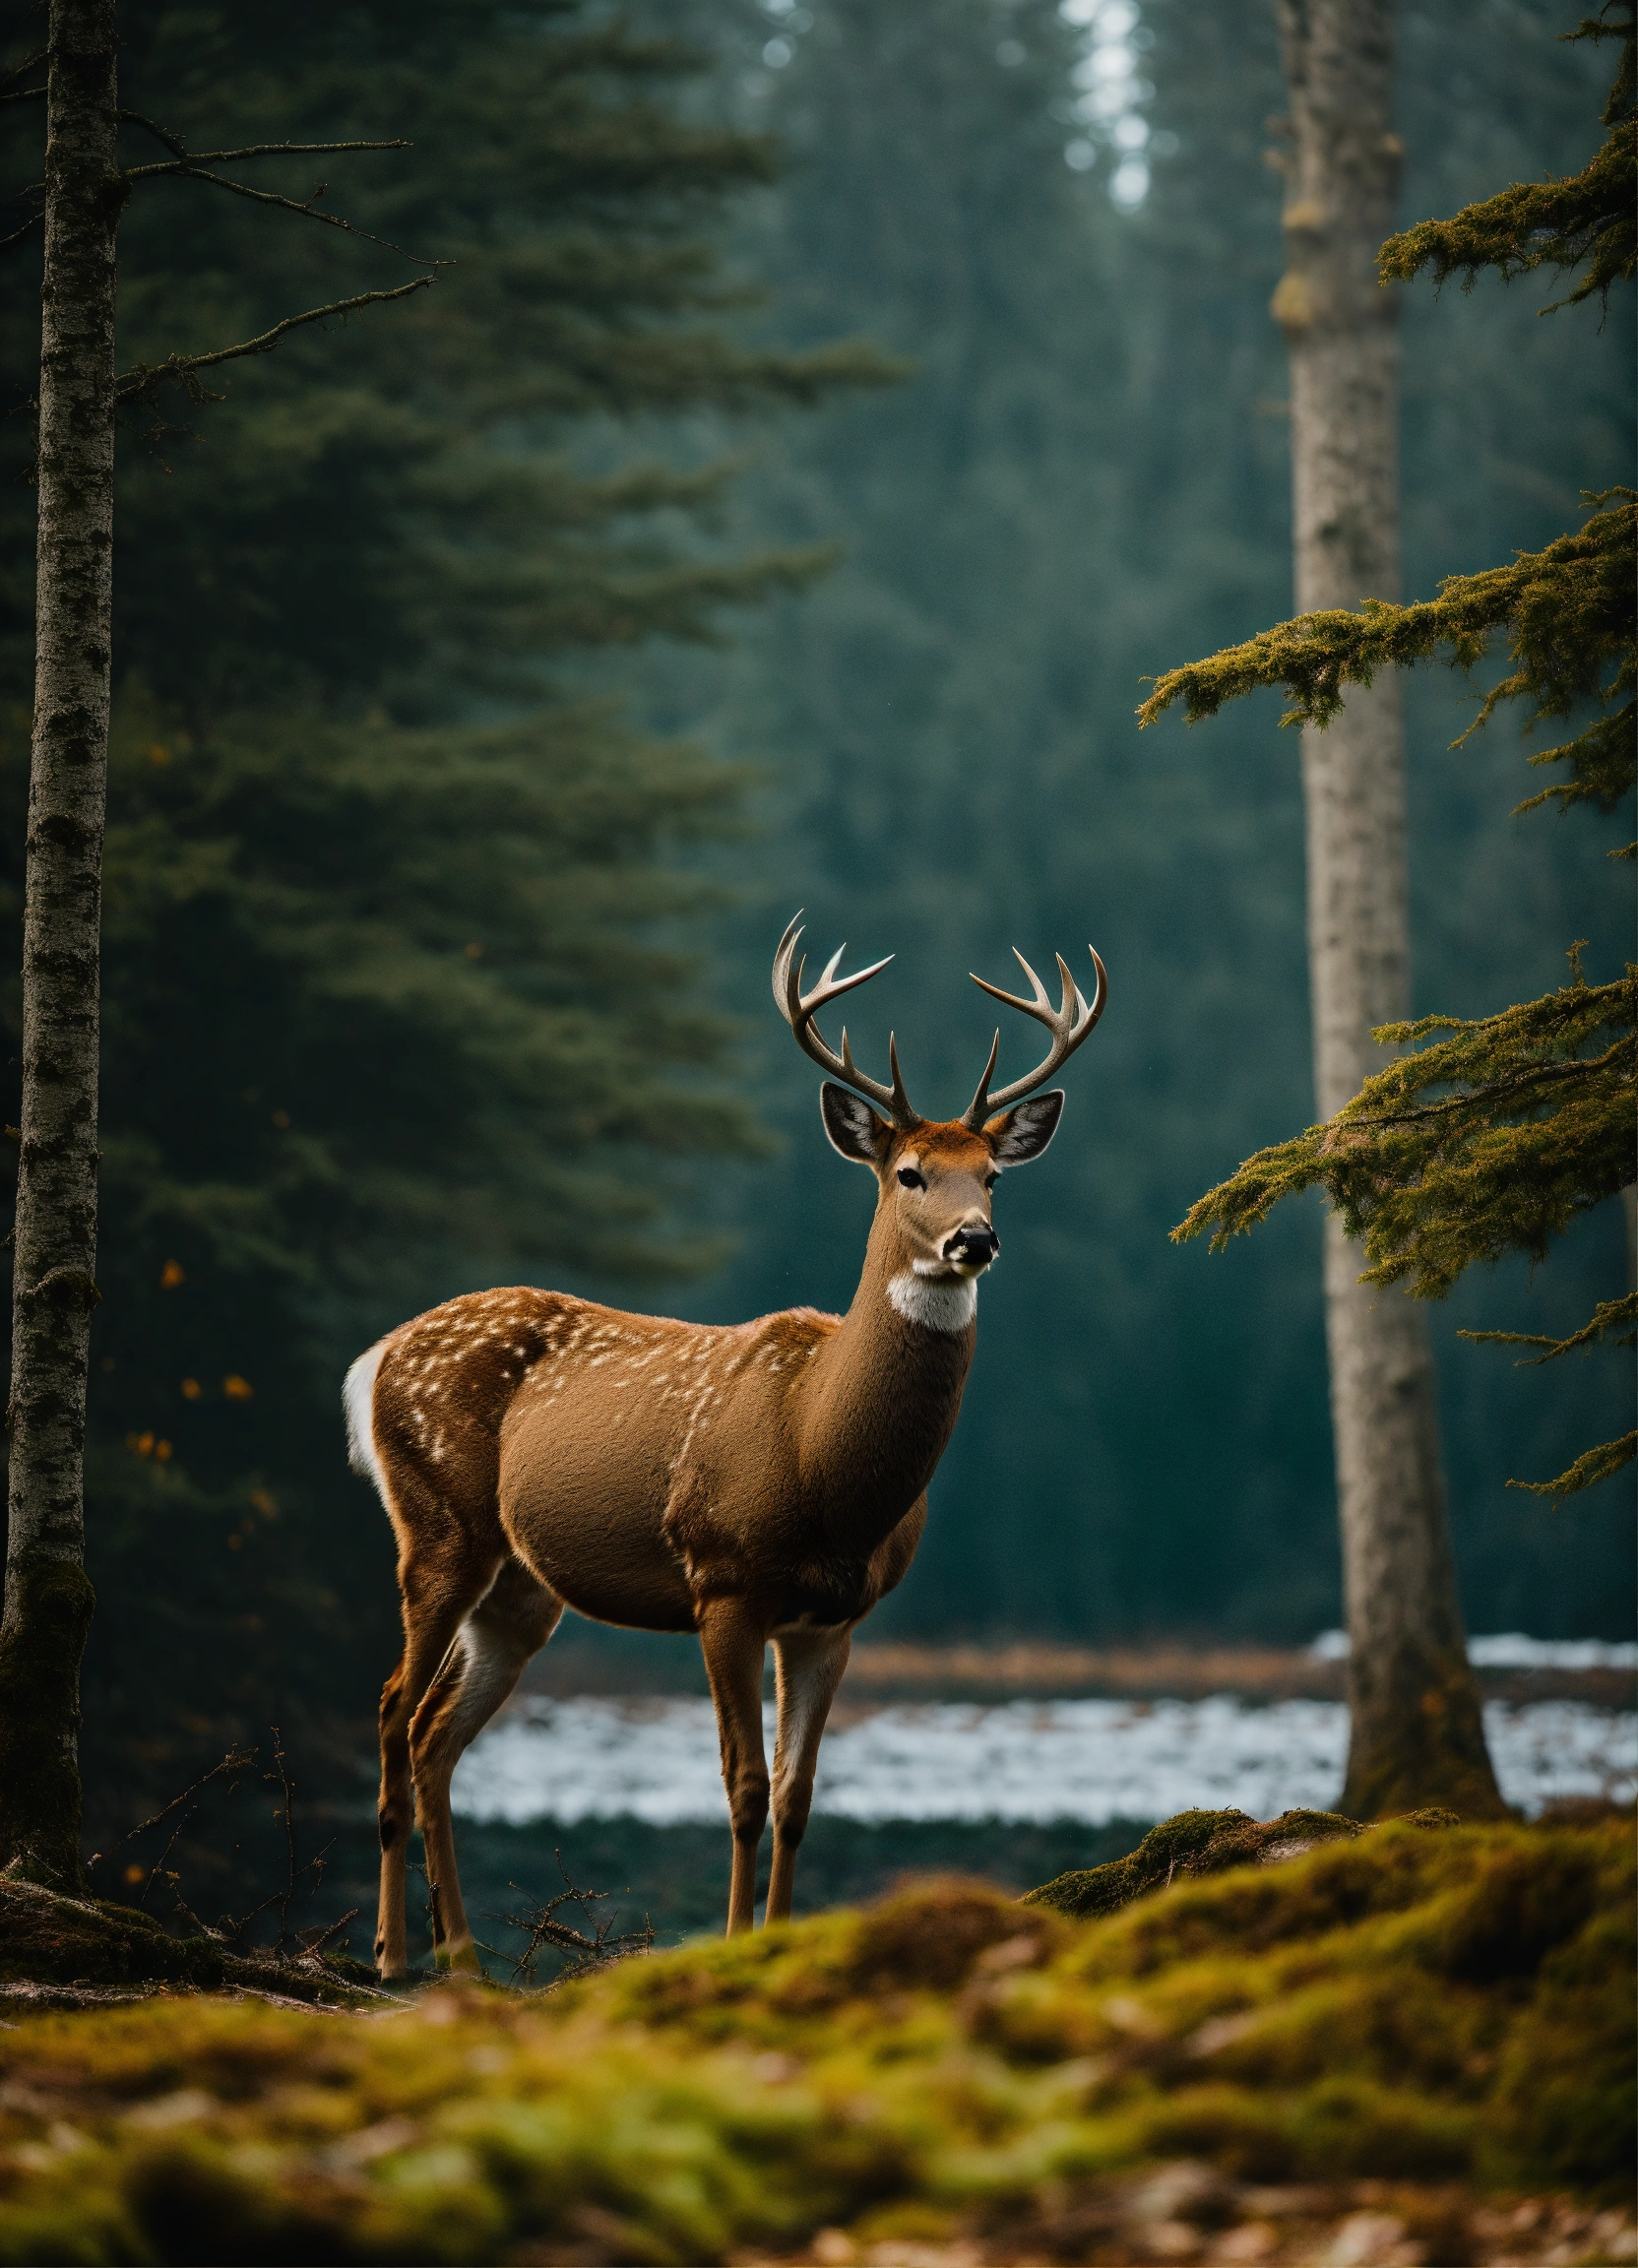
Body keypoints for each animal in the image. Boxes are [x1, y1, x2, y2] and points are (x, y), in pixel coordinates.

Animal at [344, 914, 1107, 1977]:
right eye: (909, 1172)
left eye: (992, 1176)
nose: (973, 1240)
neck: (820, 1461)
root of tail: (375, 1356)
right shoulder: (722, 1582)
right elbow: (741, 1786)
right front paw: (740, 1941)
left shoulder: (836, 1616)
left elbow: (796, 1797)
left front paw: (779, 1940)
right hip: (437, 1523)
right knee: (391, 1707)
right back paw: (394, 1956)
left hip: (521, 1589)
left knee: (431, 1732)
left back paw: (460, 1956)